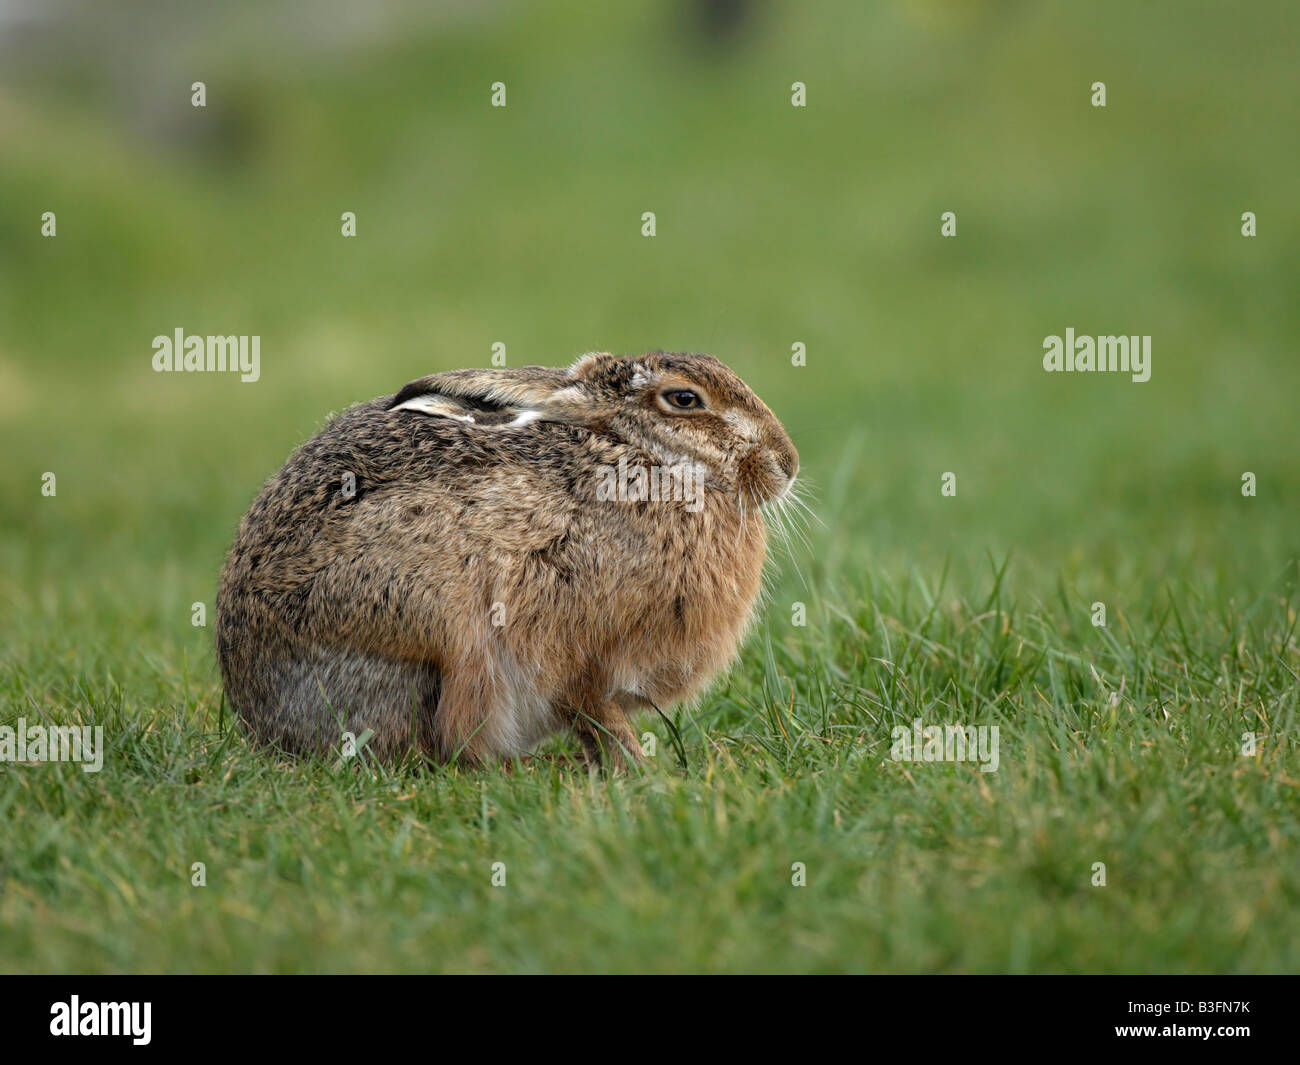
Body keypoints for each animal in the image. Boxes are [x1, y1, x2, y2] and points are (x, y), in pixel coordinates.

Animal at [215, 350, 799, 769]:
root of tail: (262, 717)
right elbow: (597, 713)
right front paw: (641, 771)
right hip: (425, 632)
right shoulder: (576, 653)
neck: (650, 460)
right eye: (684, 398)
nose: (787, 464)